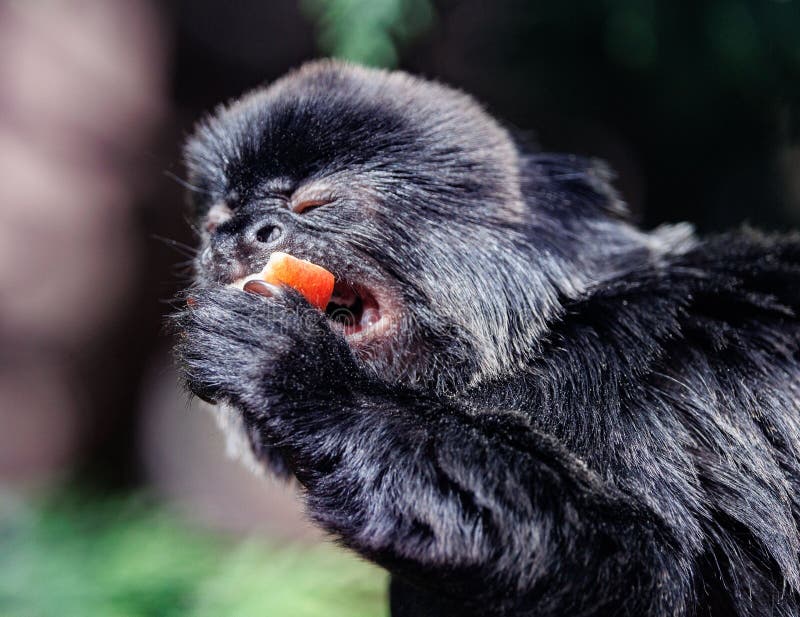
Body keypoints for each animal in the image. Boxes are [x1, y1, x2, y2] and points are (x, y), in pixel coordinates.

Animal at [173, 59, 800, 616]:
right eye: (218, 224)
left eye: (315, 203)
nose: (242, 235)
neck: (547, 342)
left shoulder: (641, 385)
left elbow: (657, 575)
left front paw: (303, 378)